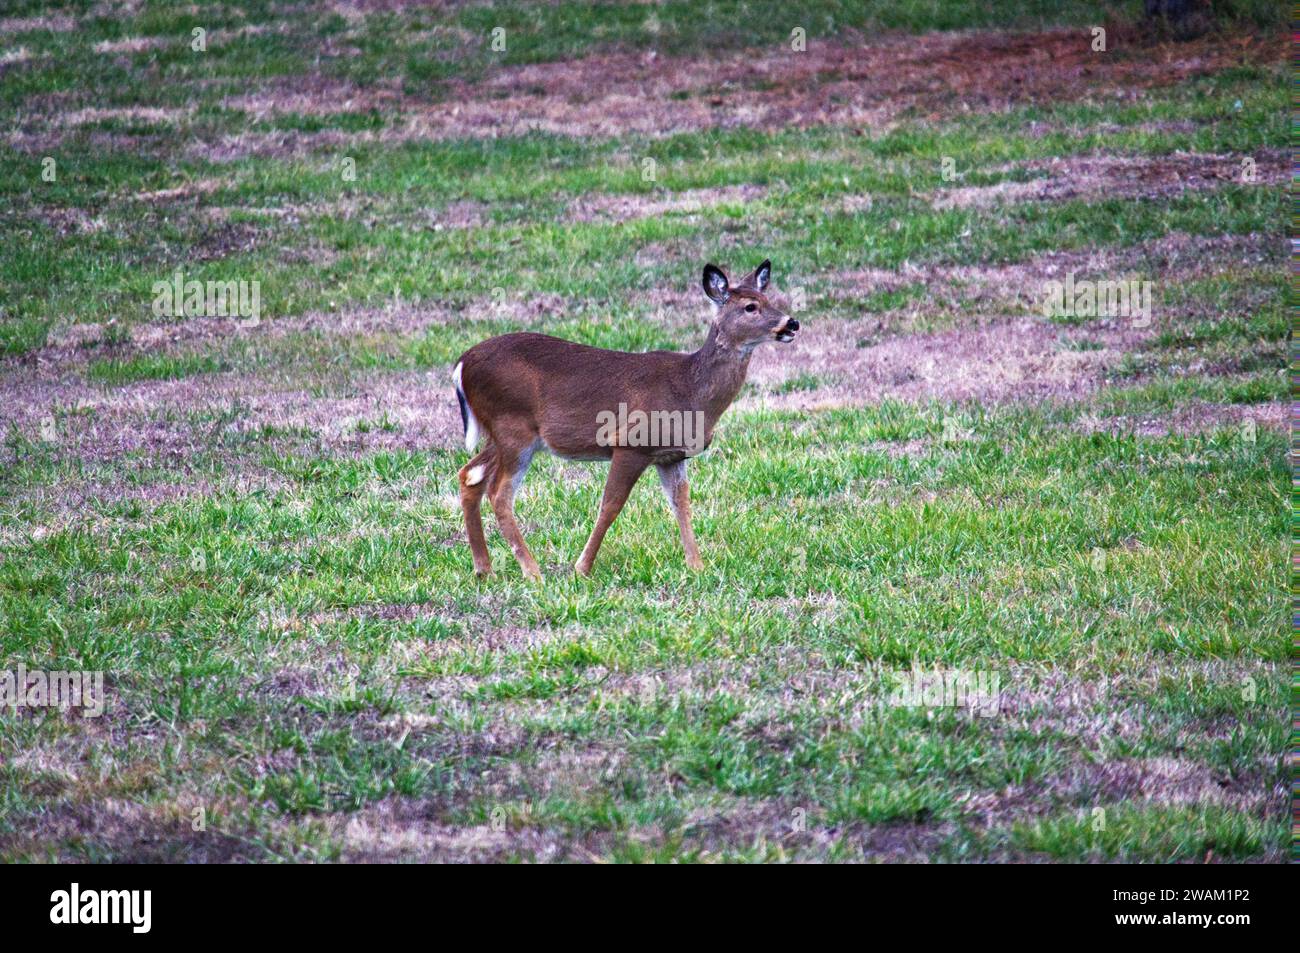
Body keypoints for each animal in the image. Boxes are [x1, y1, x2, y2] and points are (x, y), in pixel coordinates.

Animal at [452, 259, 799, 580]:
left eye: (769, 299)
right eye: (750, 307)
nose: (792, 323)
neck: (689, 392)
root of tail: (461, 365)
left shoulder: (671, 455)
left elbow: (681, 505)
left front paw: (697, 566)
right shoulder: (630, 442)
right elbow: (610, 505)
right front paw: (582, 568)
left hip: (502, 433)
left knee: (469, 475)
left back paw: (484, 569)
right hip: (514, 428)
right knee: (499, 493)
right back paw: (532, 571)